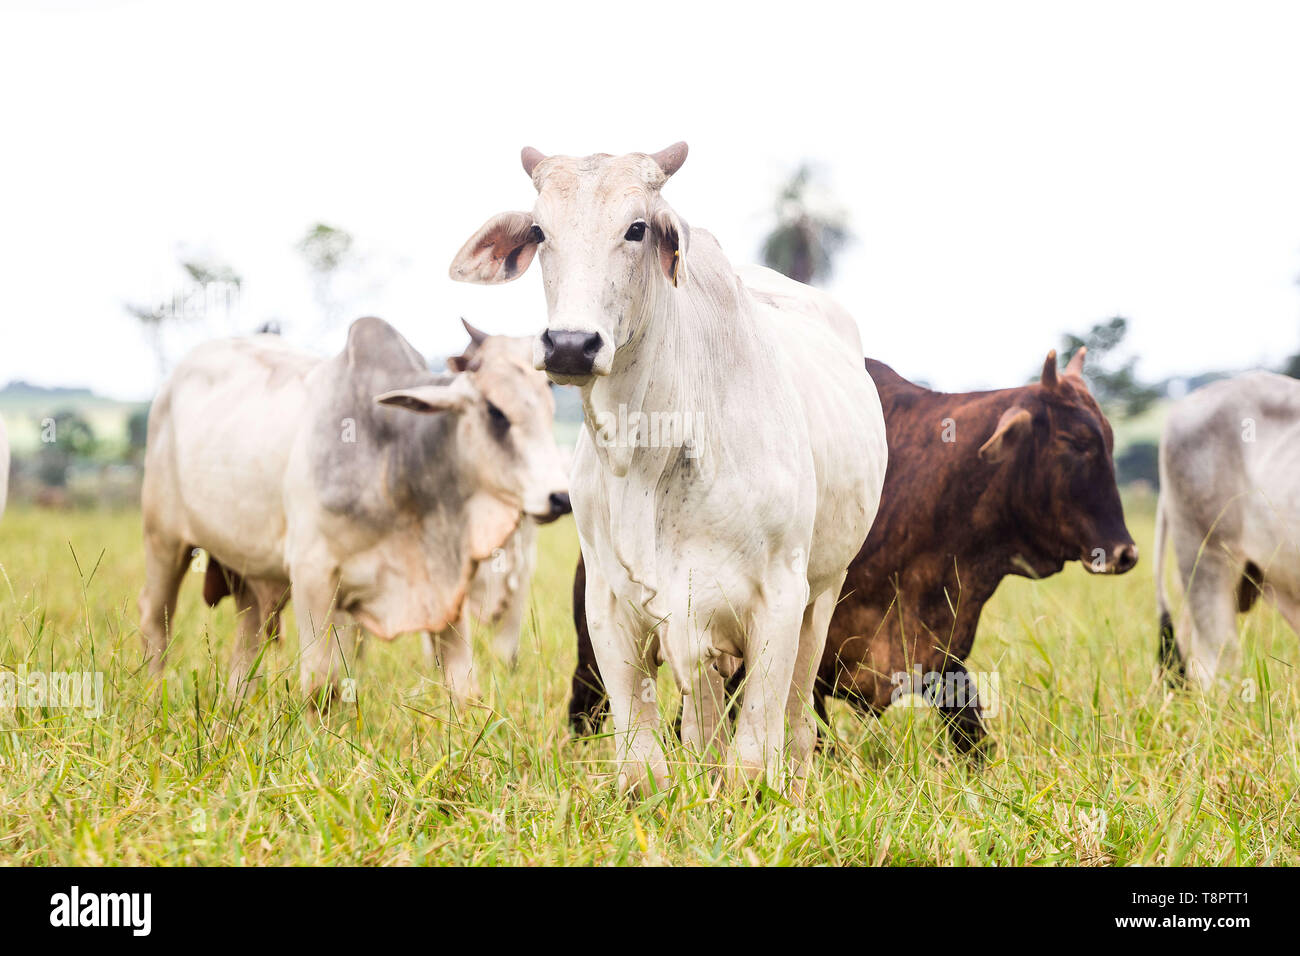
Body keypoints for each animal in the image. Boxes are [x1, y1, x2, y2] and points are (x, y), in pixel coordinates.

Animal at [139, 316, 570, 705]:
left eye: (549, 407)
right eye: (495, 411)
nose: (560, 497)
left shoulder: (446, 588)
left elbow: (464, 685)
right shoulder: (312, 576)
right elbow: (320, 683)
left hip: (248, 569)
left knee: (249, 634)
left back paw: (236, 704)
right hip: (163, 541)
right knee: (155, 624)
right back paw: (154, 700)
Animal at [450, 142, 888, 795]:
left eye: (637, 229)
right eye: (539, 231)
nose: (570, 345)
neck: (650, 454)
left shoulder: (781, 596)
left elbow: (754, 756)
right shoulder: (611, 603)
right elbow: (642, 764)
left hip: (823, 591)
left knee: (796, 719)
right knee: (704, 723)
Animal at [570, 349, 1138, 756]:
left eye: (1108, 440)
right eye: (1075, 442)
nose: (1125, 552)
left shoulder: (939, 653)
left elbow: (973, 735)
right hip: (596, 645)